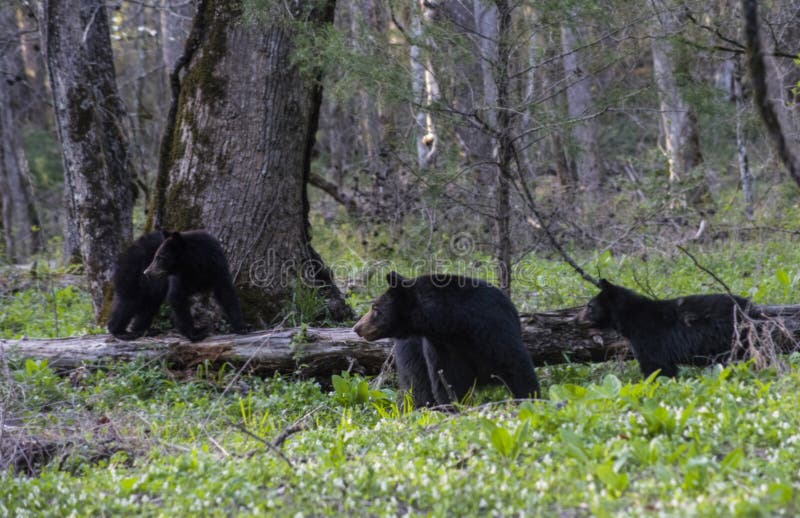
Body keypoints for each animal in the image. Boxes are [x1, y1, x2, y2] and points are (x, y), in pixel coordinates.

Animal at [353, 271, 540, 408]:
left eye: (375, 308)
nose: (357, 327)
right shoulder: (442, 348)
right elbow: (448, 383)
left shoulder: (493, 331)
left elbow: (517, 368)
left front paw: (530, 402)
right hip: (412, 350)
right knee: (417, 382)